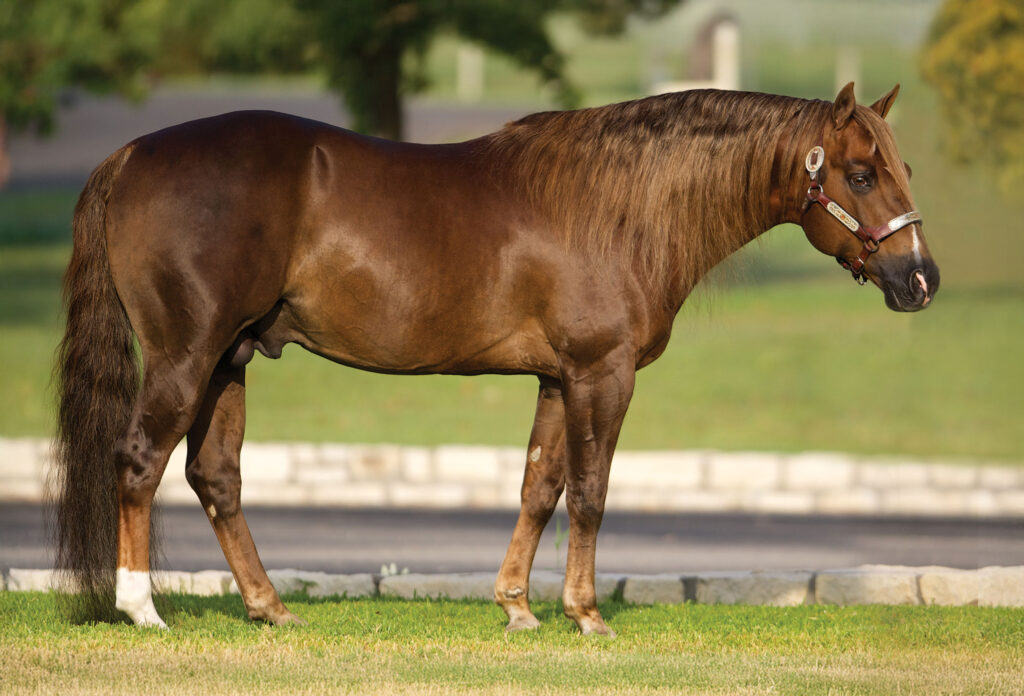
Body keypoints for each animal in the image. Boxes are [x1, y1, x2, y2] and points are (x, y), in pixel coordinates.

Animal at [53, 82, 938, 635]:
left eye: (904, 168)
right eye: (861, 174)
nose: (921, 279)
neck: (620, 206)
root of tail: (132, 154)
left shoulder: (555, 378)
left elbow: (539, 487)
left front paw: (516, 606)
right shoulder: (601, 374)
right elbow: (591, 492)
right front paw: (586, 614)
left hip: (228, 360)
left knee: (216, 477)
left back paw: (269, 608)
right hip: (186, 354)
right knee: (139, 461)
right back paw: (141, 608)